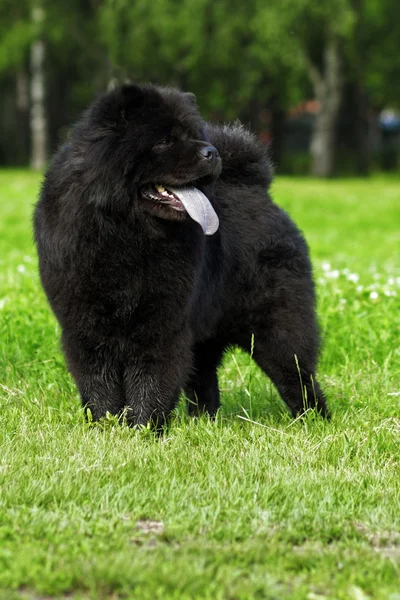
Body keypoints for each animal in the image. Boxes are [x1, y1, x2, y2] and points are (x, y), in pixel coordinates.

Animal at [33, 82, 328, 424]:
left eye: (193, 136)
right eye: (165, 141)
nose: (211, 152)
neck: (125, 230)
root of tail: (257, 188)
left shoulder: (162, 323)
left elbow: (150, 381)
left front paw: (143, 427)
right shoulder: (86, 325)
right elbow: (99, 383)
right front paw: (106, 425)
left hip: (277, 329)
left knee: (298, 376)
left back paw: (313, 420)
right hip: (205, 334)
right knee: (205, 382)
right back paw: (203, 421)